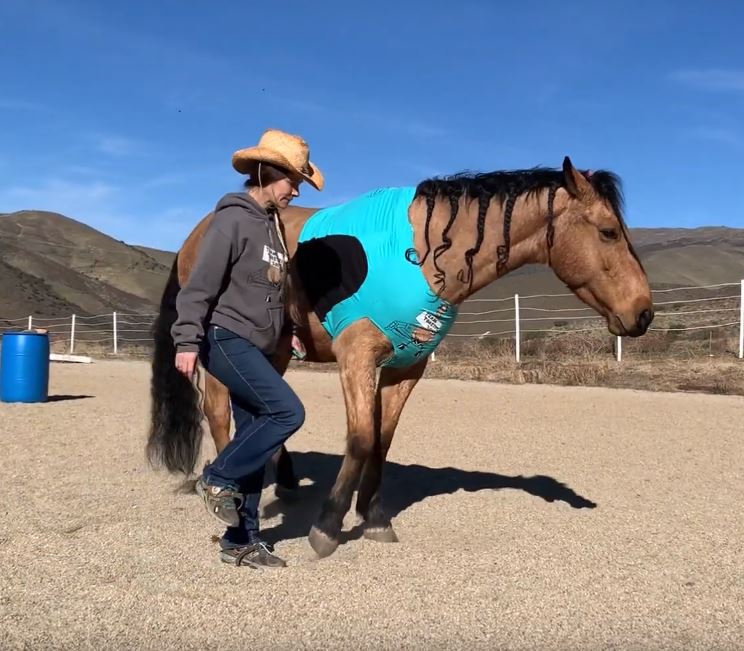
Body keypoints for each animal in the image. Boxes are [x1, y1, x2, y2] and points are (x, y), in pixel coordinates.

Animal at [146, 156, 654, 559]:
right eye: (608, 231)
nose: (643, 313)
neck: (420, 255)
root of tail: (193, 238)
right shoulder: (357, 359)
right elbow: (360, 439)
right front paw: (328, 525)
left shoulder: (407, 367)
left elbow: (383, 441)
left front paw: (373, 517)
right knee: (219, 413)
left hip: (275, 351)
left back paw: (286, 480)